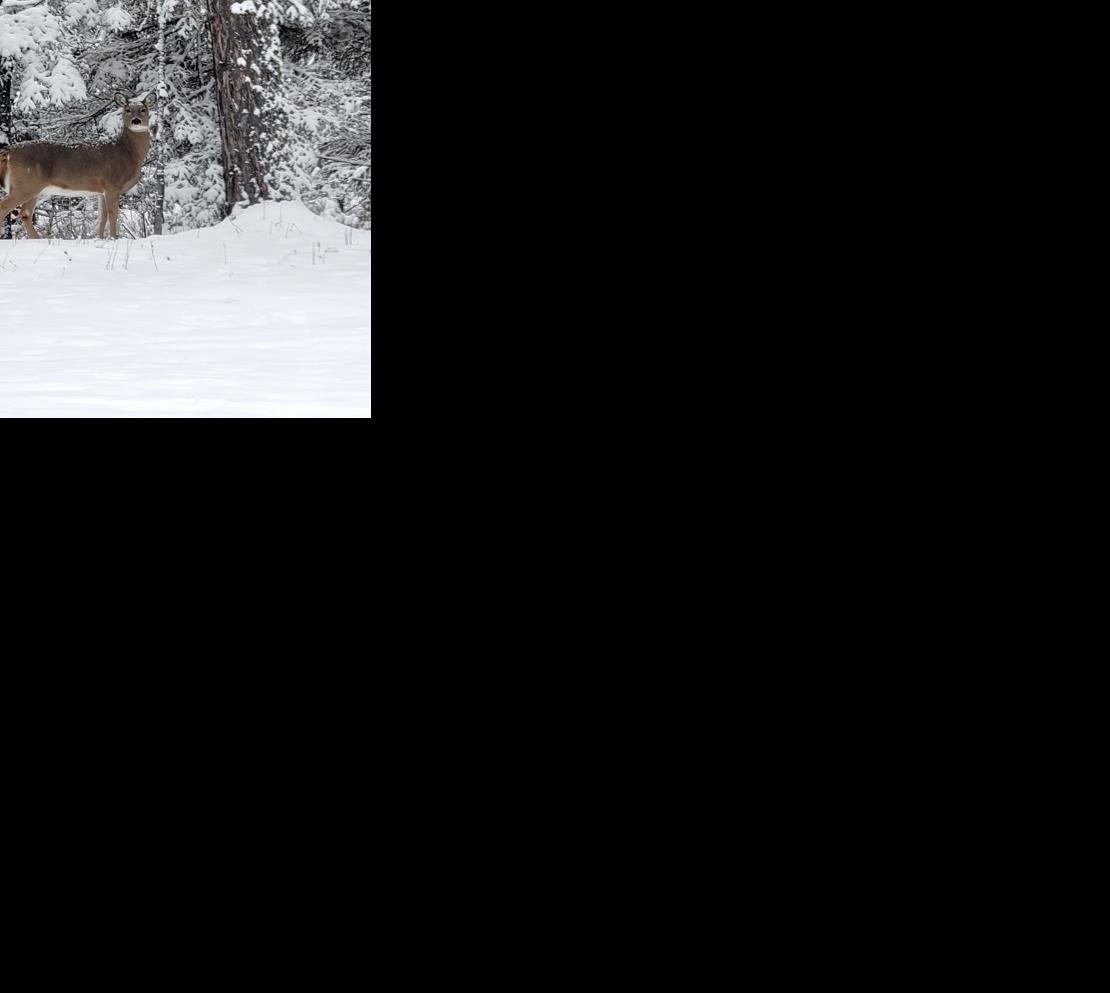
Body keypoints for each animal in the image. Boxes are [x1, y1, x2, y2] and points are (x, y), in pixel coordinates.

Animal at [0, 93, 157, 240]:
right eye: (128, 110)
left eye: (143, 109)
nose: (136, 121)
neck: (127, 152)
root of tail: (10, 150)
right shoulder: (112, 184)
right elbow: (113, 214)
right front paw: (114, 238)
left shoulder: (102, 190)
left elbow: (102, 217)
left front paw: (100, 240)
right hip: (25, 184)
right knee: (5, 207)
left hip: (35, 189)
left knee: (25, 214)